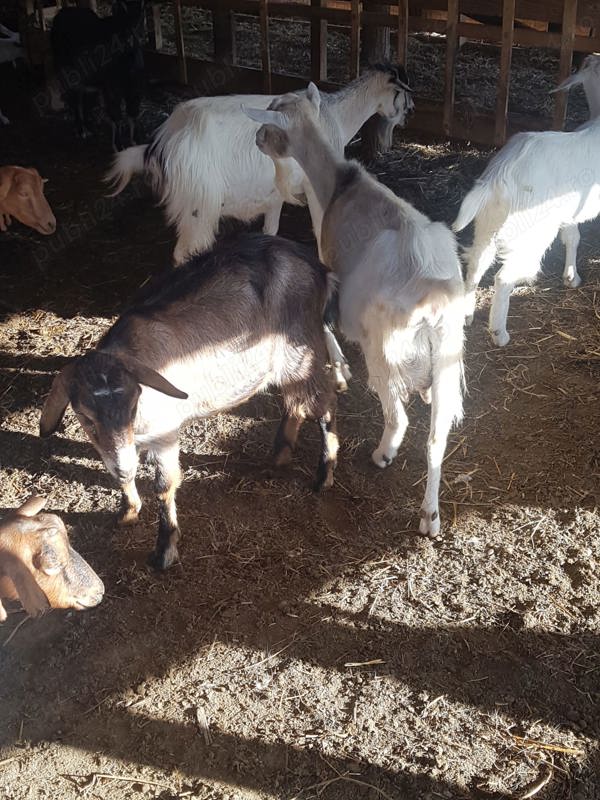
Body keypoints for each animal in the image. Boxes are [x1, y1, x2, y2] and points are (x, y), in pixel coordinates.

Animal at [40, 234, 338, 570]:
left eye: (132, 405)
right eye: (86, 417)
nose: (124, 468)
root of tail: (317, 267)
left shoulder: (165, 434)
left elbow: (164, 486)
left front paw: (164, 551)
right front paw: (128, 510)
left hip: (303, 353)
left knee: (325, 404)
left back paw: (324, 474)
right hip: (287, 366)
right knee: (294, 403)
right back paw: (279, 457)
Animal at [50, 0, 144, 150]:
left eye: (140, 18)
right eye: (121, 16)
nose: (129, 40)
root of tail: (62, 13)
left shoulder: (134, 86)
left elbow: (133, 113)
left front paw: (136, 141)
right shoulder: (111, 87)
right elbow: (116, 115)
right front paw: (119, 145)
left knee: (84, 97)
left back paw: (89, 127)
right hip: (65, 70)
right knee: (74, 98)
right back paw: (80, 130)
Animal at [243, 84, 465, 538]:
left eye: (270, 121)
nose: (255, 138)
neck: (337, 184)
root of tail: (432, 296)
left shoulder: (331, 274)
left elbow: (325, 324)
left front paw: (341, 370)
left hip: (384, 349)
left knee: (398, 417)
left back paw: (383, 454)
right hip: (449, 350)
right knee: (436, 435)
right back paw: (430, 516)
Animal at [453, 114, 600, 346]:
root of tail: (501, 173)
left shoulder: (568, 213)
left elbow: (572, 237)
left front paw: (571, 277)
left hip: (488, 223)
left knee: (476, 263)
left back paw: (467, 315)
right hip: (532, 231)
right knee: (503, 277)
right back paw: (499, 334)